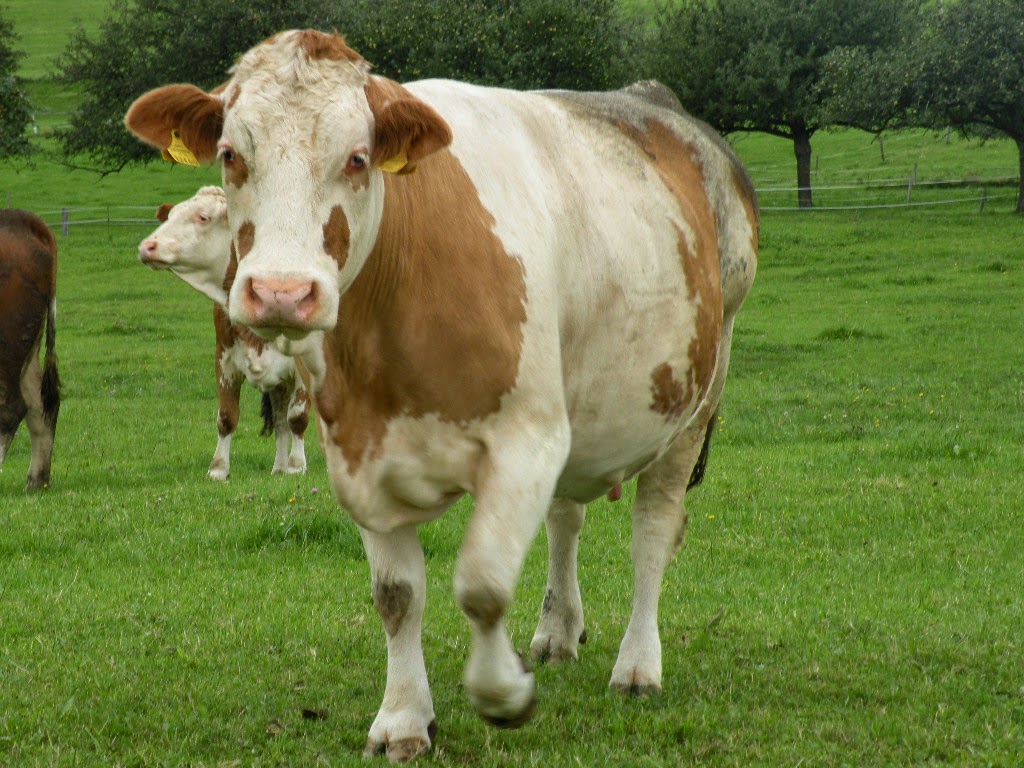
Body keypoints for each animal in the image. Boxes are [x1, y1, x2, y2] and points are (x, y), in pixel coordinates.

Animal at [137, 186, 309, 480]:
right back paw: (278, 466)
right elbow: (228, 416)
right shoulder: (225, 359)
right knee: (279, 417)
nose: (147, 246)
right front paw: (218, 469)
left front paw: (297, 466)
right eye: (170, 216)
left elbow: (297, 416)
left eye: (203, 217)